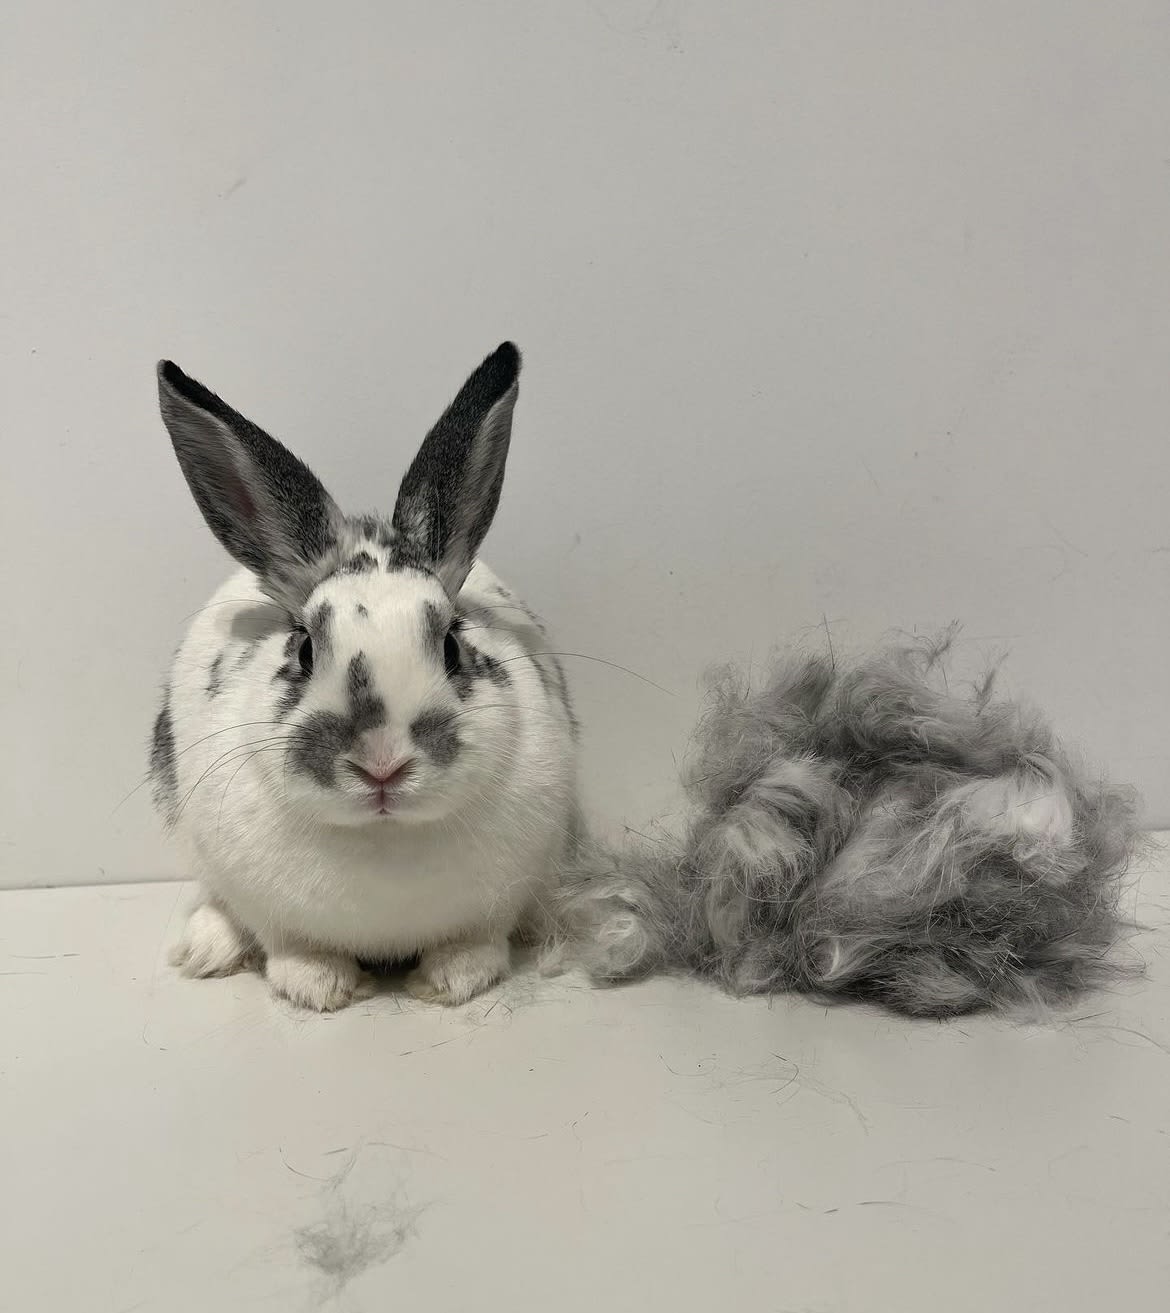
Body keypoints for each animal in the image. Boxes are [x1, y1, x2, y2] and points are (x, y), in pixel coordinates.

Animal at [150, 343, 579, 1011]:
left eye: (452, 645)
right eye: (304, 648)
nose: (382, 764)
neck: (386, 839)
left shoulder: (497, 901)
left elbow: (475, 943)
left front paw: (452, 982)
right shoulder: (269, 908)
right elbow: (293, 947)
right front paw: (320, 988)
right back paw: (206, 949)